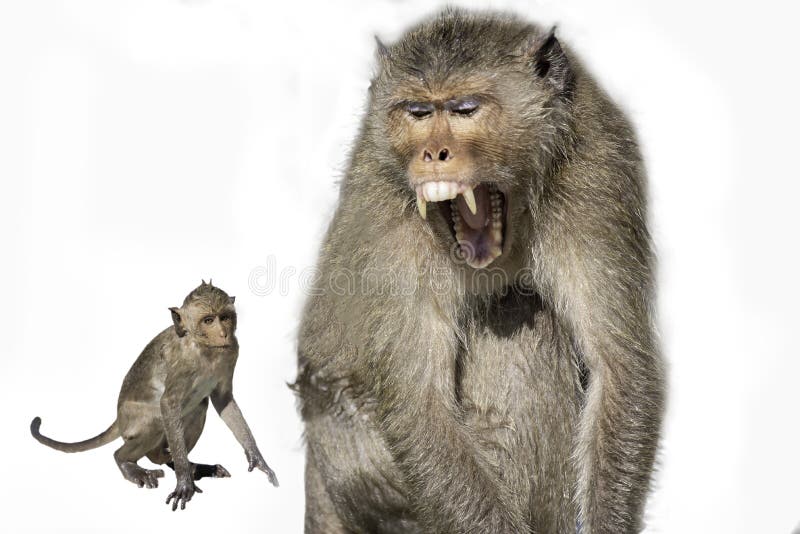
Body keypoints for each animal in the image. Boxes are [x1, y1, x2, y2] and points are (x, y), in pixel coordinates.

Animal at [31, 280, 278, 511]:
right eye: (208, 320)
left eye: (225, 317)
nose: (223, 333)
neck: (204, 347)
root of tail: (118, 419)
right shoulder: (184, 362)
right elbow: (168, 404)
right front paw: (183, 483)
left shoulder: (232, 350)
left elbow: (223, 399)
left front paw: (256, 457)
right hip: (132, 423)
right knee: (155, 419)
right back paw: (131, 463)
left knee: (199, 407)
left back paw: (186, 465)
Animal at [293, 8, 664, 534]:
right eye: (418, 112)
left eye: (465, 109)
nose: (433, 155)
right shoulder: (394, 229)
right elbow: (420, 408)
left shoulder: (598, 170)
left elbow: (619, 368)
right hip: (368, 465)